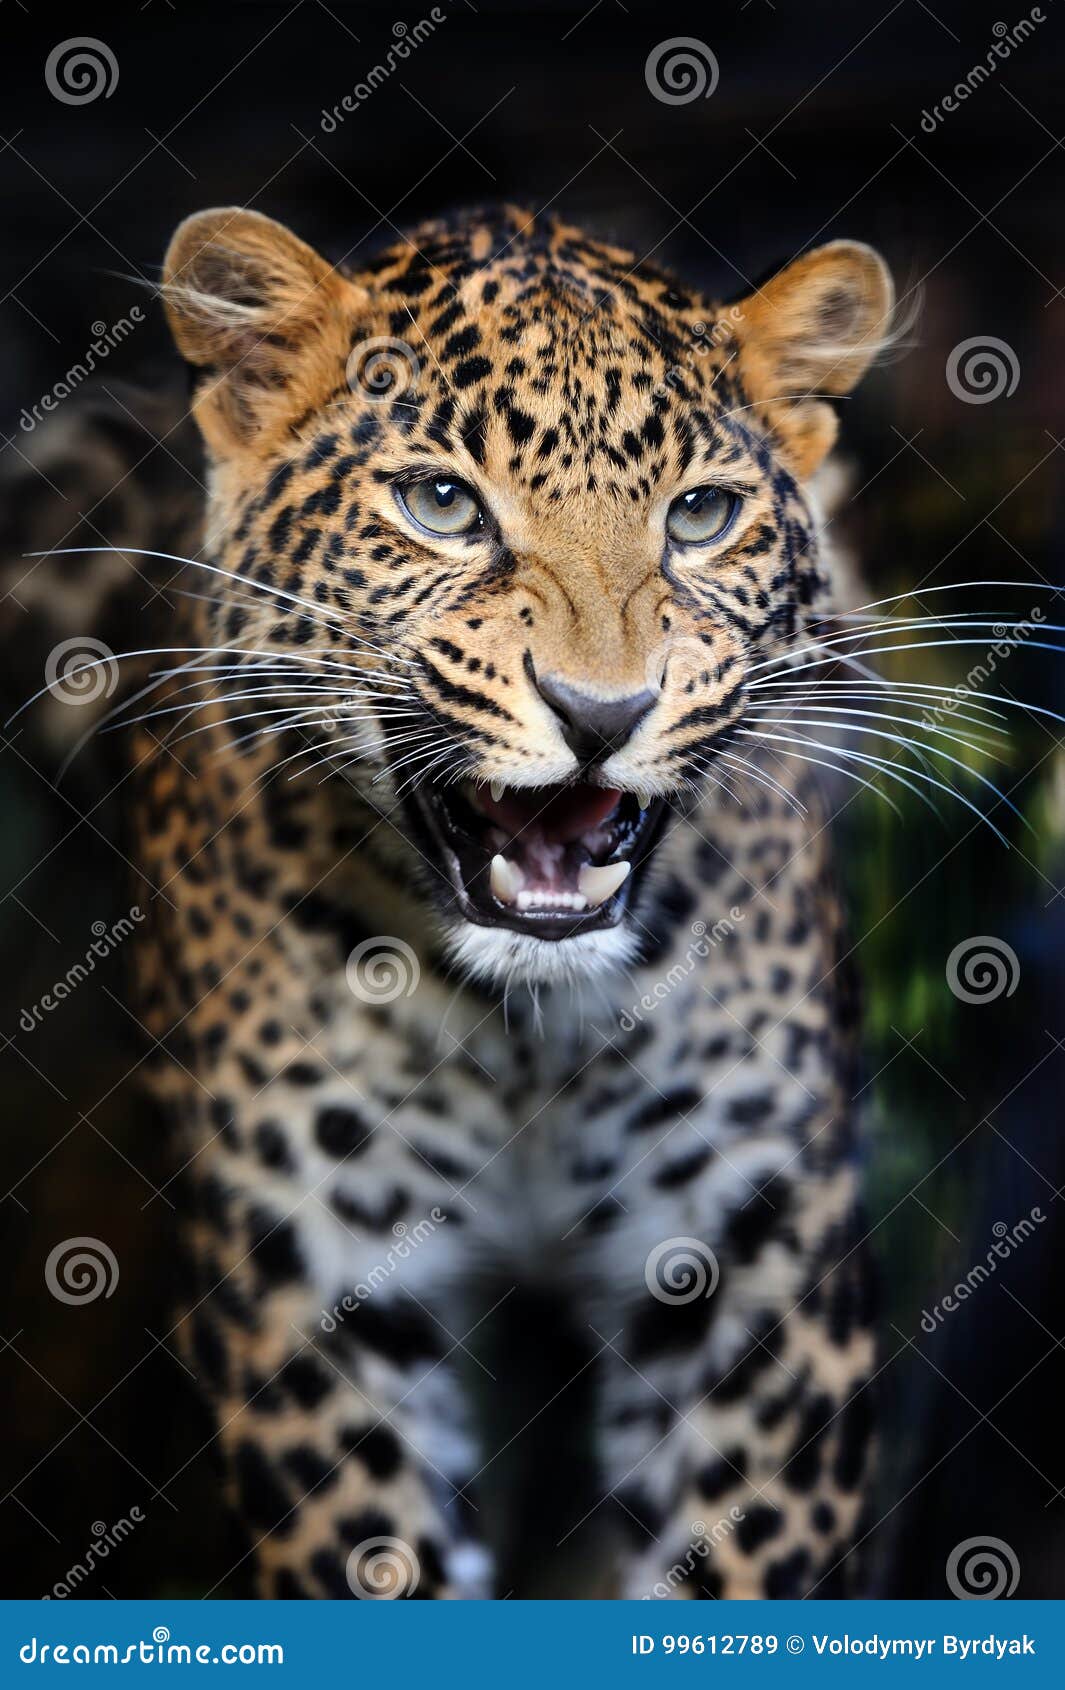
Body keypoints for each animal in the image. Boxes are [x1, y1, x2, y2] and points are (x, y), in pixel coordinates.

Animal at [7, 202, 896, 1599]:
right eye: (441, 505)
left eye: (701, 516)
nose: (602, 713)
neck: (528, 1034)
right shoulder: (312, 1273)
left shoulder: (758, 1260)